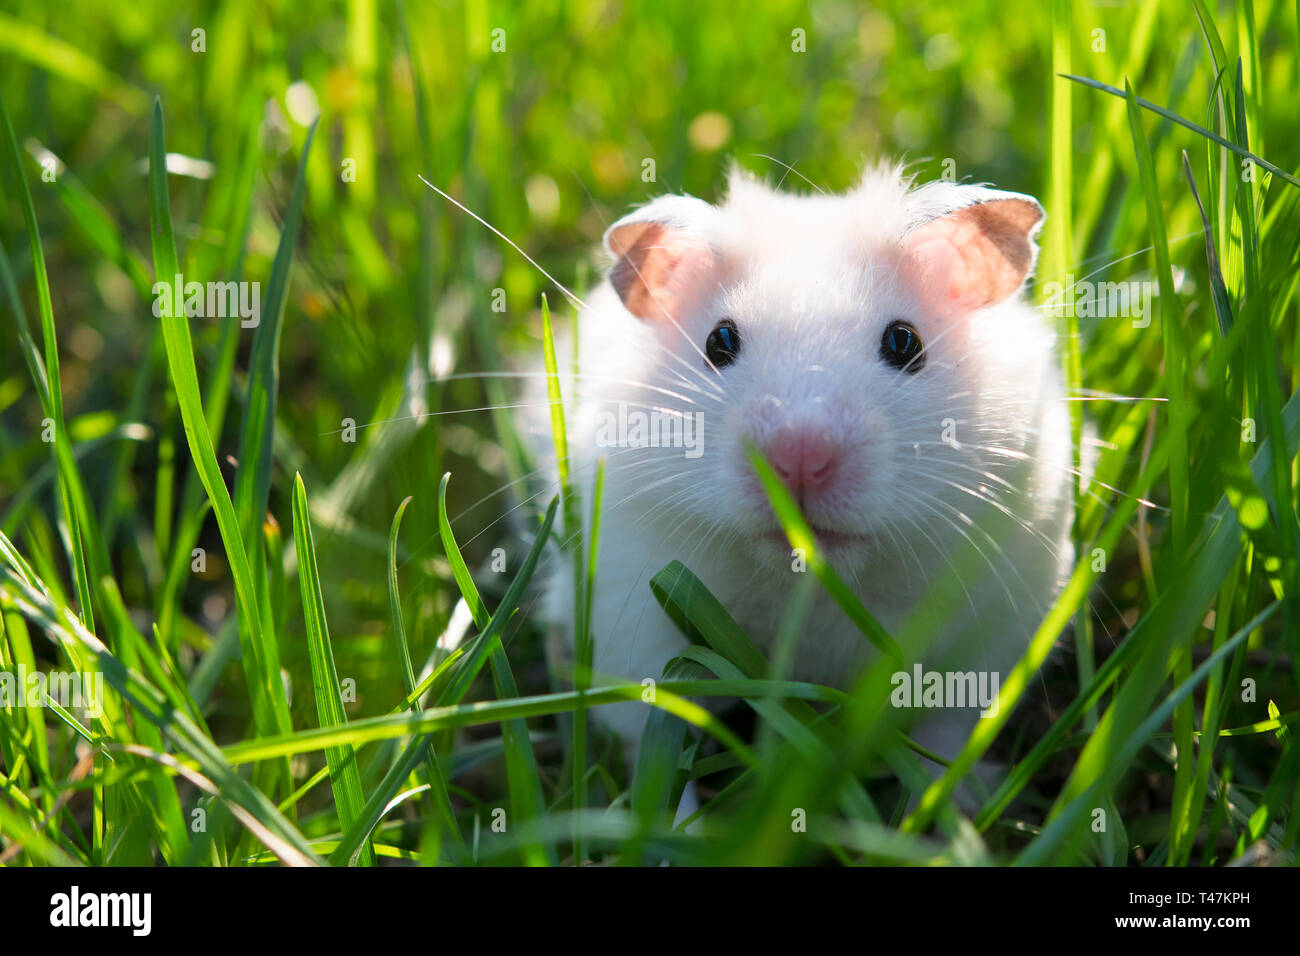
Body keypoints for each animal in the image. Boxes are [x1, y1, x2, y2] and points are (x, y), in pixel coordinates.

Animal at [537, 162, 1075, 782]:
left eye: (904, 342)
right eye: (719, 341)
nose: (799, 456)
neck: (811, 583)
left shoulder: (989, 634)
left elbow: (945, 737)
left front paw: (955, 802)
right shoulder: (633, 620)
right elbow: (662, 736)